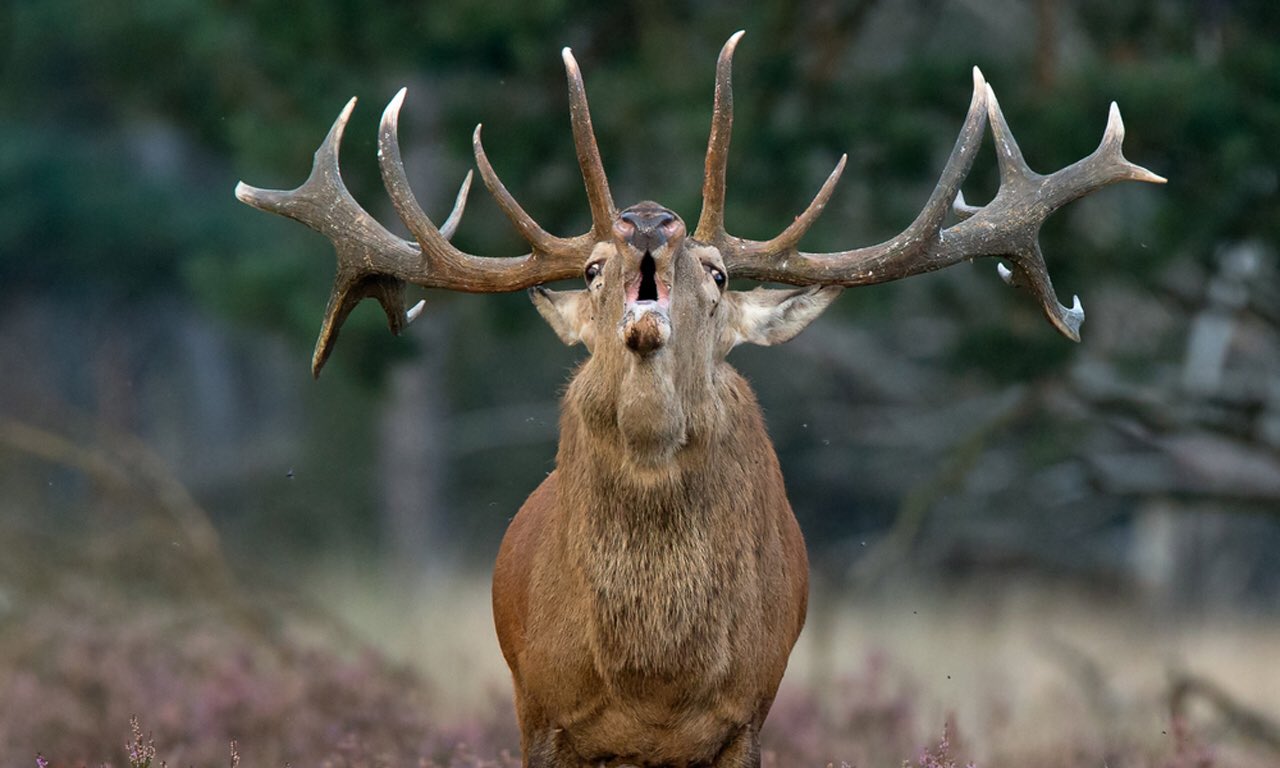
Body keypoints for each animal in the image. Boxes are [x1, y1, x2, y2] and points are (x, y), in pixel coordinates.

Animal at [235, 32, 1163, 768]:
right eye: (592, 269)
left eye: (717, 273)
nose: (649, 219)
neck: (654, 678)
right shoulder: (540, 712)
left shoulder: (746, 716)